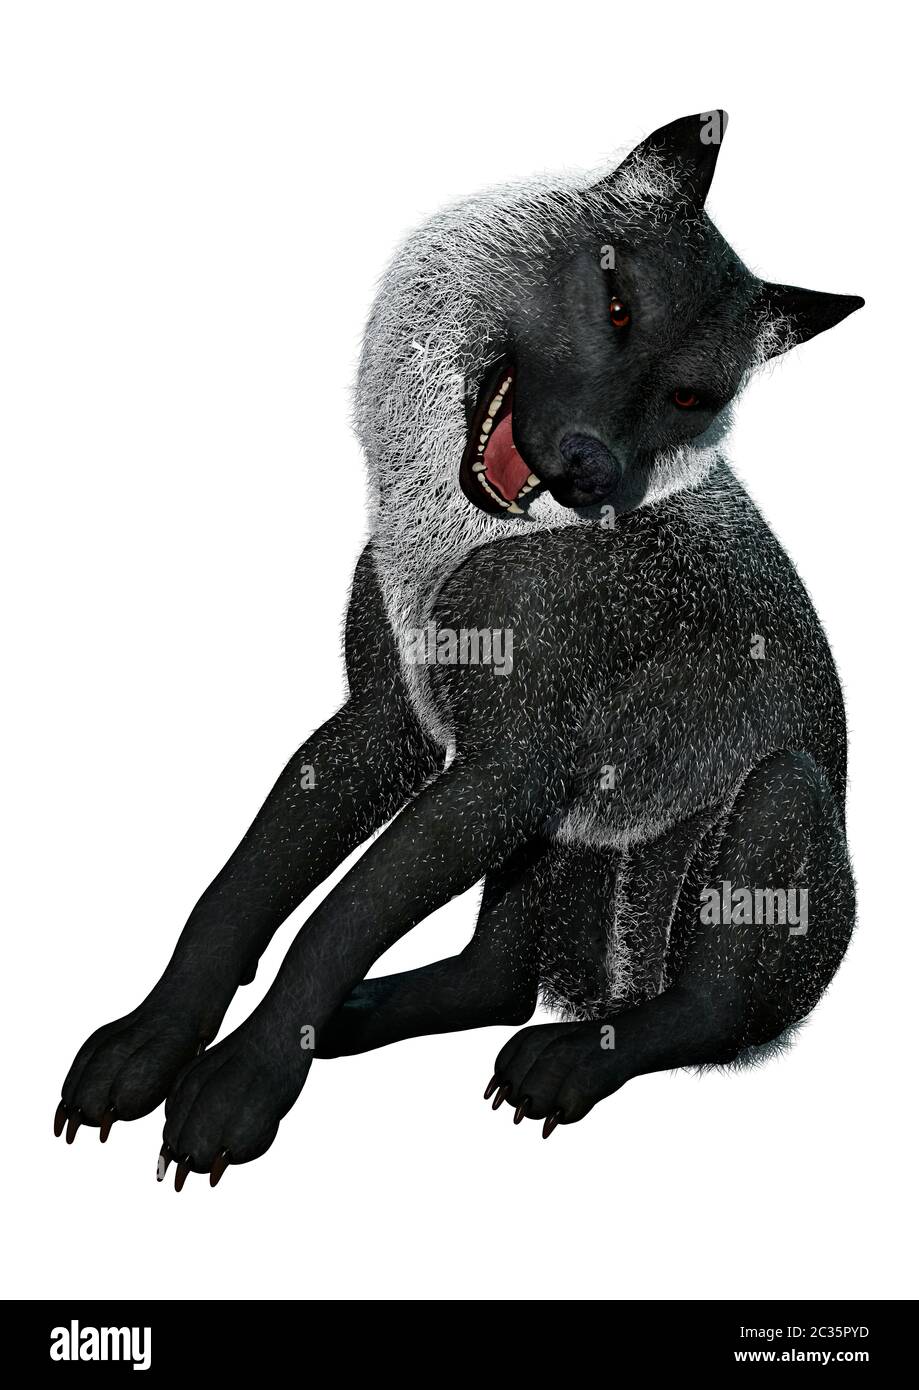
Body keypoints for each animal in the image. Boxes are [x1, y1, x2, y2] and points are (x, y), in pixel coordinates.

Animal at [56, 112, 862, 1187]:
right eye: (615, 307)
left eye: (693, 397)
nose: (591, 469)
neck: (452, 542)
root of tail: (593, 990)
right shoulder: (389, 727)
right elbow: (239, 890)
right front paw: (150, 1042)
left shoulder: (501, 770)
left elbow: (338, 916)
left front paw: (241, 1083)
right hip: (556, 837)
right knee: (497, 981)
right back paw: (374, 1015)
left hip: (769, 803)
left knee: (696, 1011)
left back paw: (570, 1059)